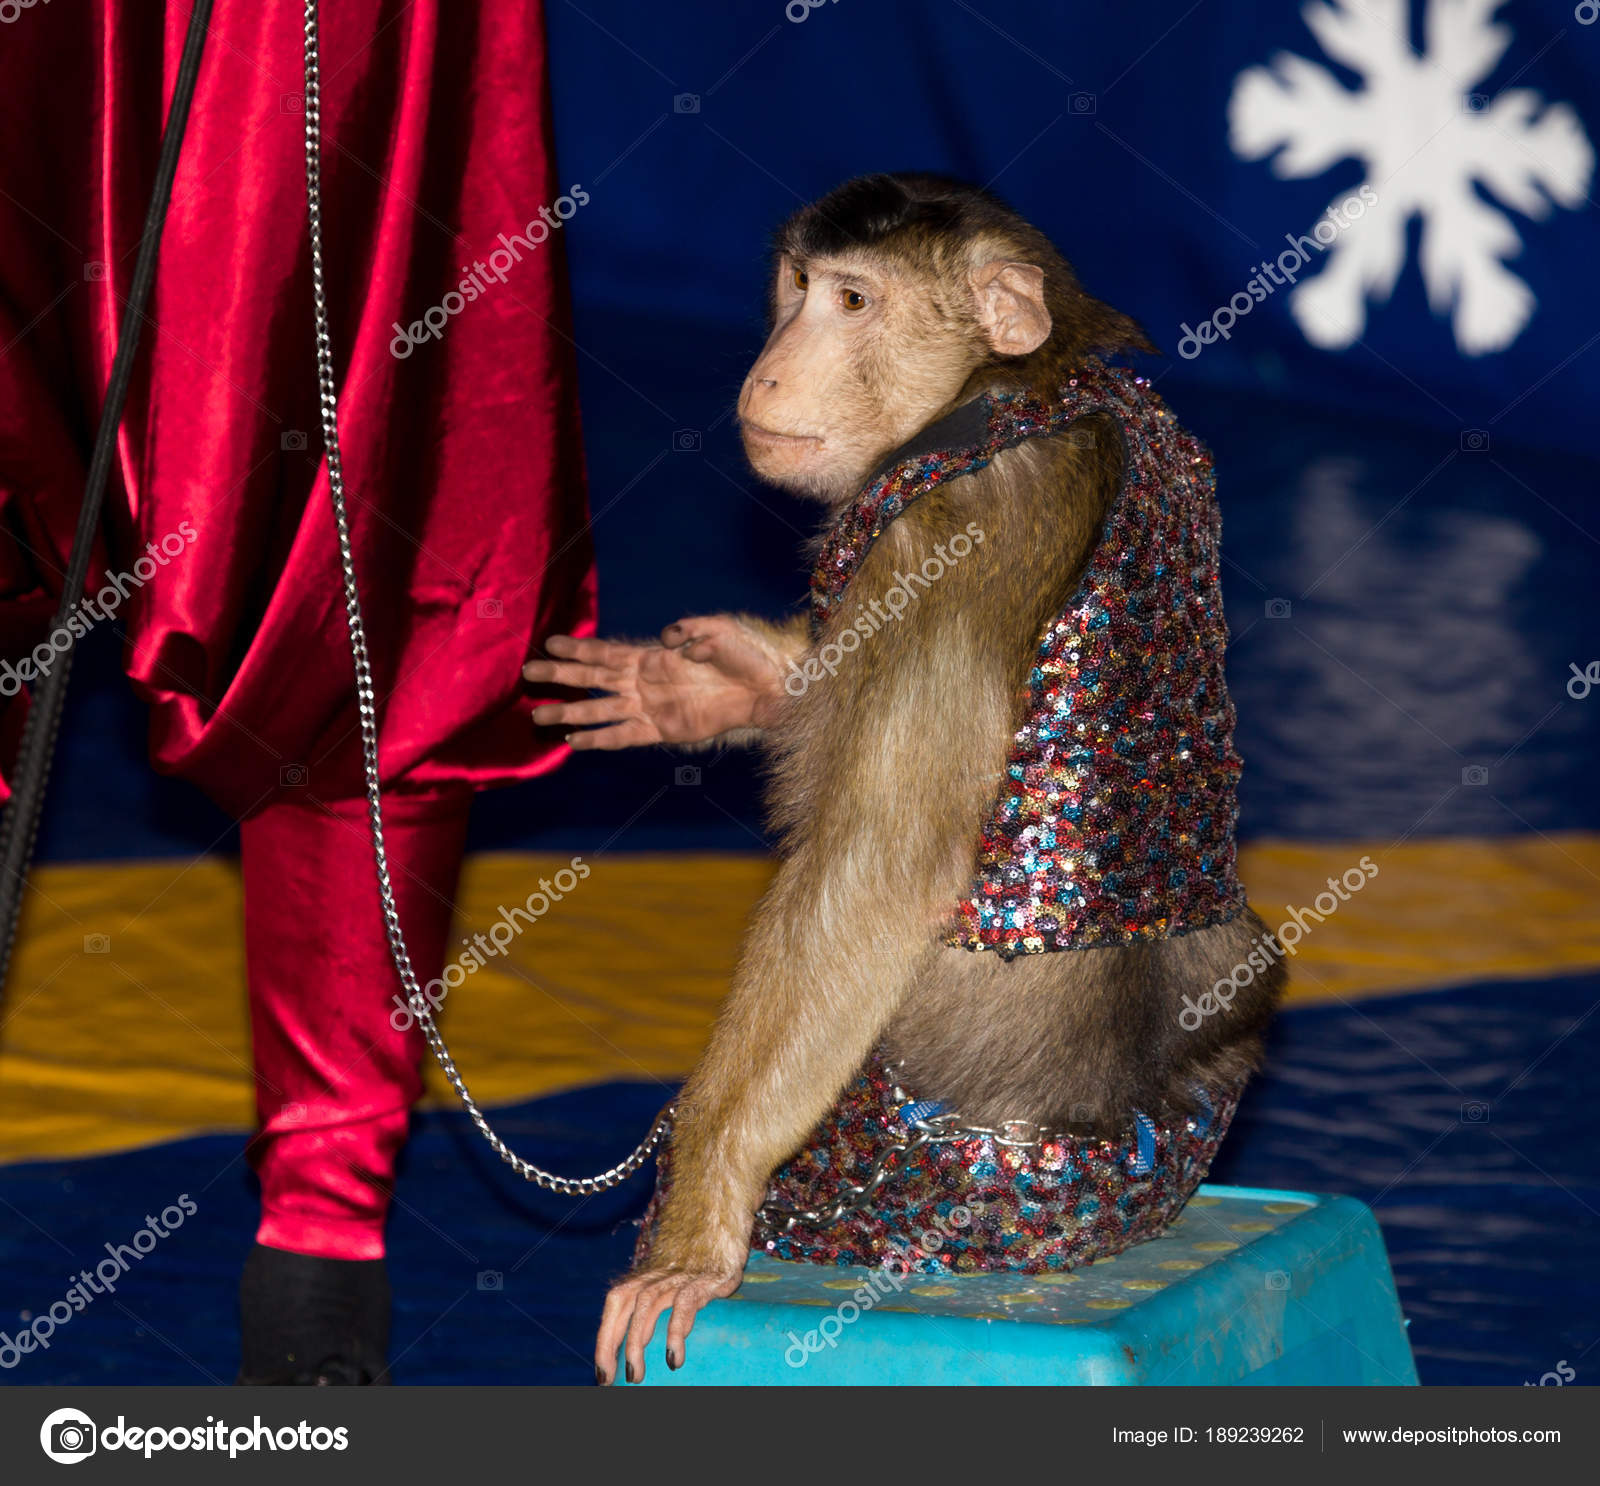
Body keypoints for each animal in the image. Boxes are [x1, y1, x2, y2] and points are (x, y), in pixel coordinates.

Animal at [521, 173, 1285, 1384]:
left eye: (852, 301)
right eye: (797, 289)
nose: (770, 366)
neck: (1011, 389)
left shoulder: (950, 538)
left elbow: (871, 871)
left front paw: (700, 1215)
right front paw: (711, 684)